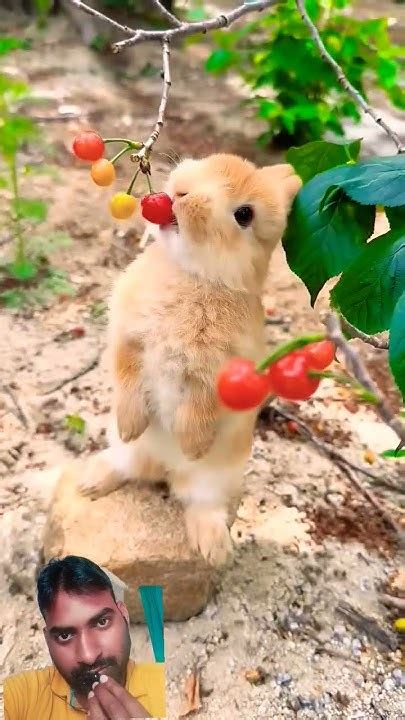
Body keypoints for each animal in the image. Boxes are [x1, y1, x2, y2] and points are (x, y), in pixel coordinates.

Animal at [78, 153, 302, 566]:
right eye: (208, 162)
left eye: (244, 215)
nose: (181, 190)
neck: (195, 275)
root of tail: (163, 469)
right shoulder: (128, 341)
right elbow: (127, 379)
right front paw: (132, 424)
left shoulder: (218, 375)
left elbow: (200, 407)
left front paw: (192, 444)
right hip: (127, 450)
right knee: (125, 464)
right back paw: (91, 482)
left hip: (218, 477)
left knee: (202, 505)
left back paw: (213, 550)